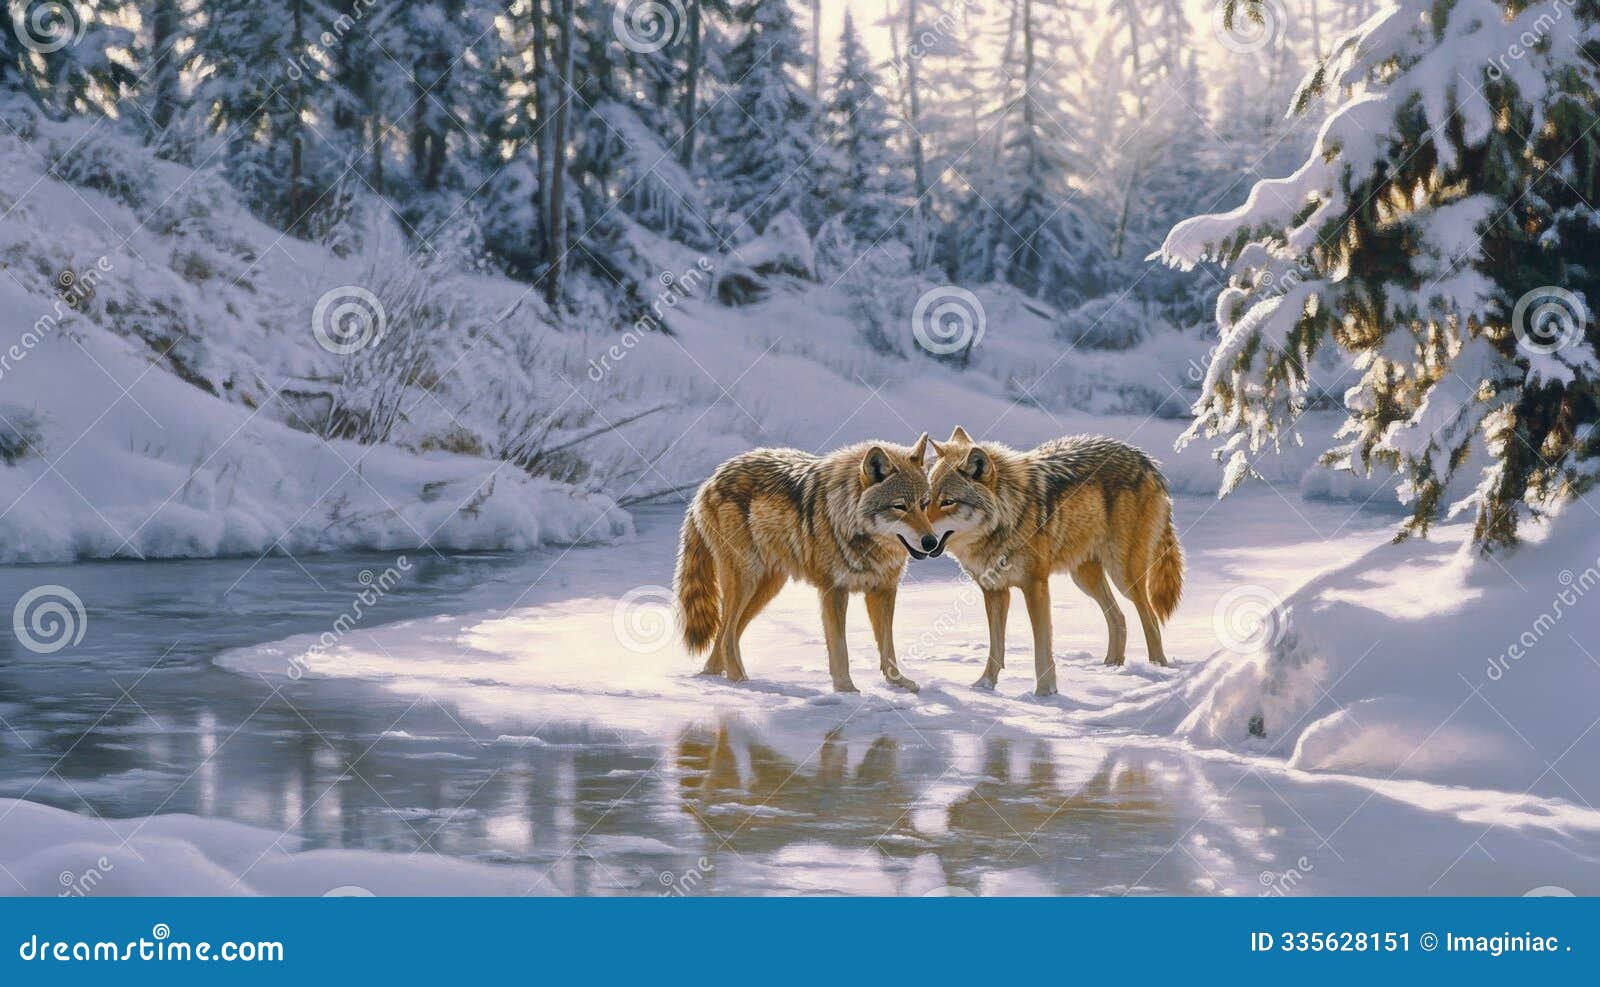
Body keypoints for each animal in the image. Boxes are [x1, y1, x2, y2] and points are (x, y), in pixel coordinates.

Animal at [674, 435, 943, 693]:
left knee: (724, 633)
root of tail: (710, 481)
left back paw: (715, 676)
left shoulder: (884, 591)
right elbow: (840, 648)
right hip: (746, 581)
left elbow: (888, 648)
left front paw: (897, 683)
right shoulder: (834, 591)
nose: (931, 542)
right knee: (727, 633)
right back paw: (741, 682)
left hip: (766, 588)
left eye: (924, 504)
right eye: (900, 506)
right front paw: (845, 688)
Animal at [926, 427, 1183, 696]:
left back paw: (1158, 670)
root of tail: (1147, 461)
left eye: (948, 502)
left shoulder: (1035, 586)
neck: (1010, 515)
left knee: (1151, 619)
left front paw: (1044, 693)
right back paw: (1111, 668)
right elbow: (996, 648)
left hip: (1124, 576)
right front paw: (984, 686)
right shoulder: (994, 591)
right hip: (1085, 578)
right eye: (926, 499)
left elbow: (1042, 646)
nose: (922, 535)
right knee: (1119, 618)